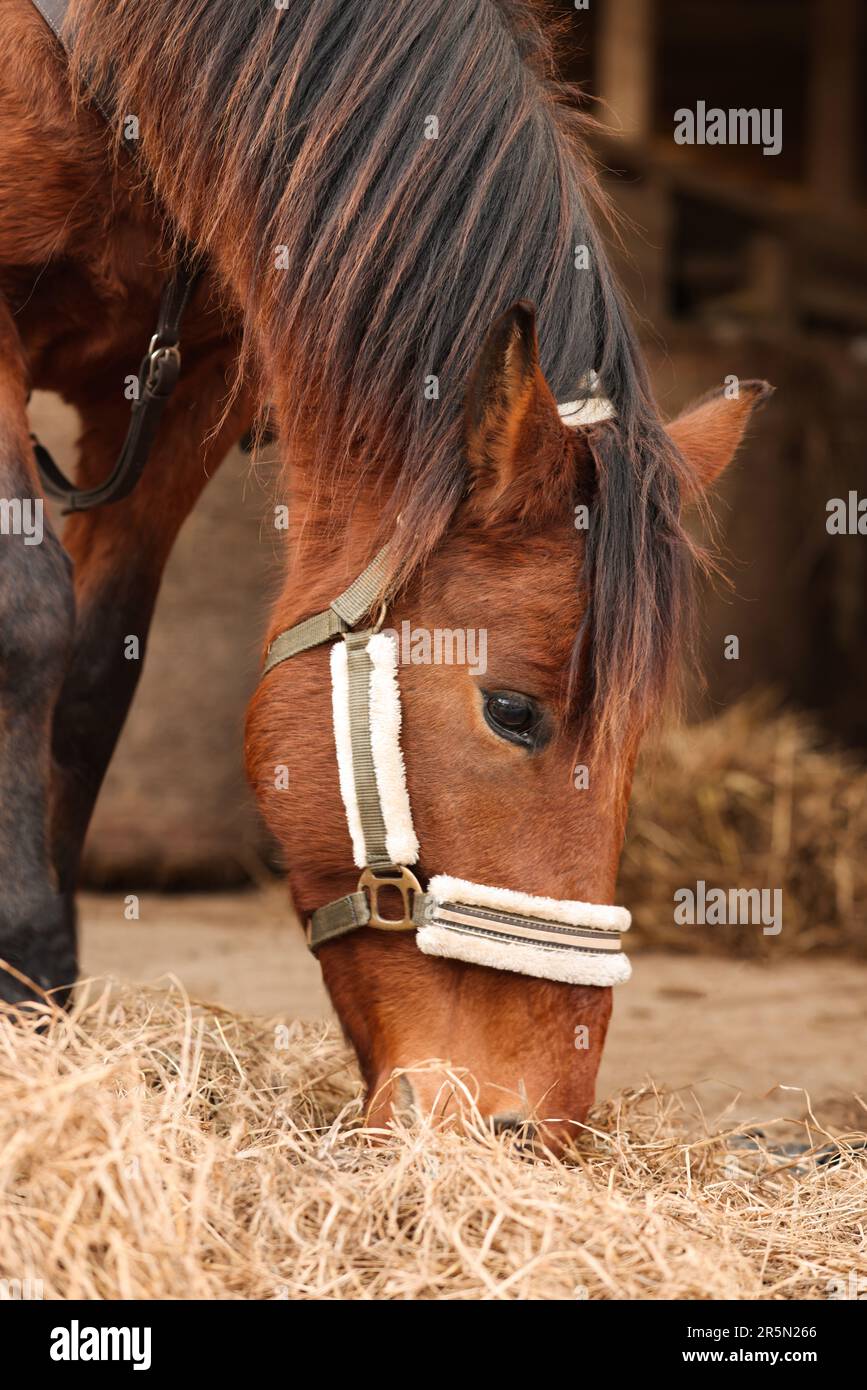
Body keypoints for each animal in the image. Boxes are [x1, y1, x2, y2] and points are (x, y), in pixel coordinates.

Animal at [0, 0, 769, 1153]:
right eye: (512, 712)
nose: (536, 1130)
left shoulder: (186, 389)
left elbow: (92, 679)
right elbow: (27, 618)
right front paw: (21, 975)